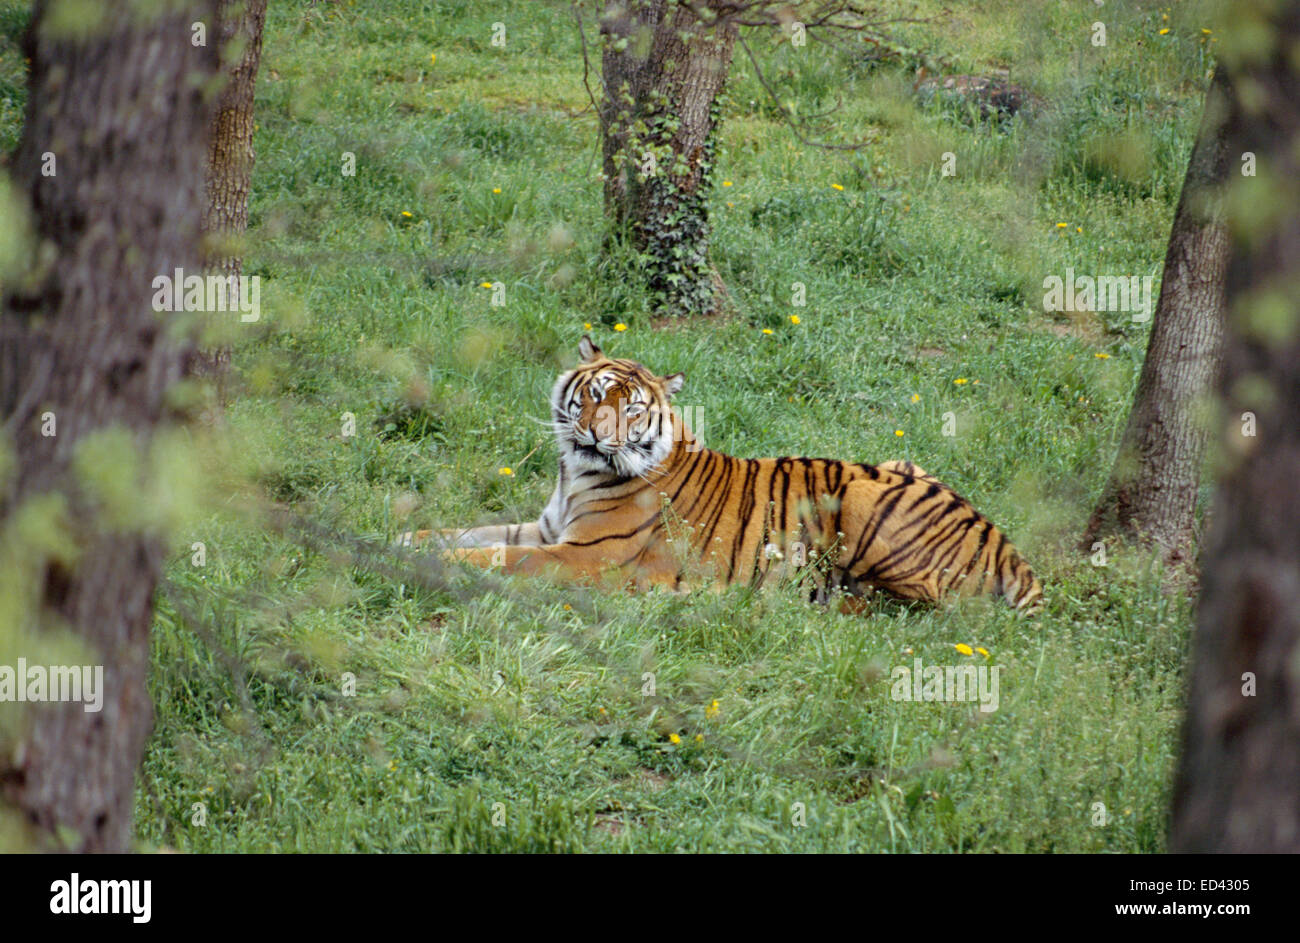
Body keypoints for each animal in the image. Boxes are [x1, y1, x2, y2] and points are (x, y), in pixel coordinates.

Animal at [397, 336, 1043, 613]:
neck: (574, 473)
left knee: (917, 610)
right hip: (900, 463)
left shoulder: (584, 556)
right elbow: (468, 531)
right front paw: (403, 536)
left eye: (633, 410)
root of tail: (1006, 546)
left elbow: (496, 556)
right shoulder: (548, 528)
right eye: (597, 395)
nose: (597, 435)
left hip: (863, 498)